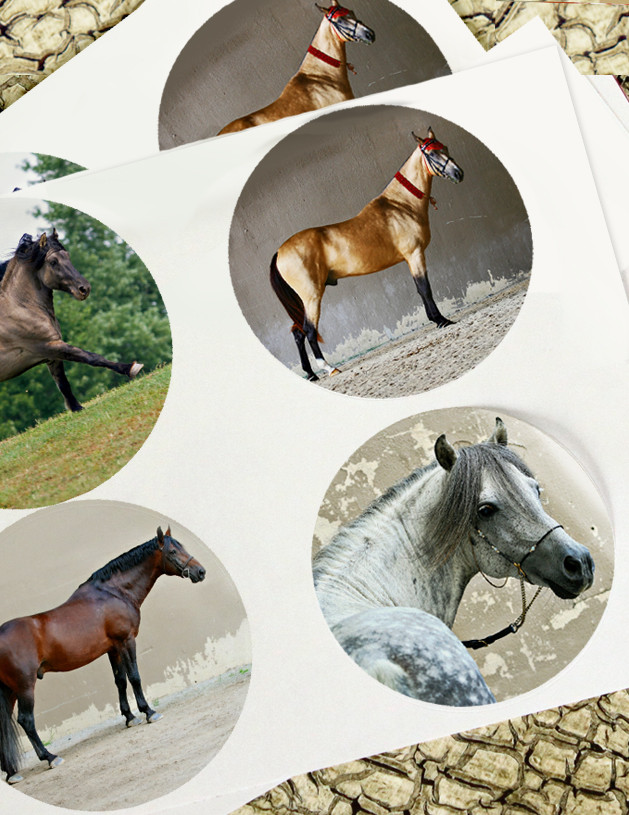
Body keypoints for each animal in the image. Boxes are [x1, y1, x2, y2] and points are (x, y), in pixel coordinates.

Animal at [0, 230, 143, 413]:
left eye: (67, 255)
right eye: (53, 261)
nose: (84, 289)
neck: (21, 307)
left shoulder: (52, 354)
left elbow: (63, 383)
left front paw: (76, 408)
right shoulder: (48, 346)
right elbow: (92, 358)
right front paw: (131, 368)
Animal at [0, 526, 206, 784]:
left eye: (181, 547)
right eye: (172, 551)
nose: (201, 571)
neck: (114, 593)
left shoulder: (113, 649)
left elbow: (120, 681)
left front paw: (130, 717)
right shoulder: (127, 641)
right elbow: (134, 677)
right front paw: (149, 712)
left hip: (8, 691)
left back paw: (12, 773)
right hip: (24, 686)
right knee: (26, 721)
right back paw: (50, 757)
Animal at [270, 128, 464, 380]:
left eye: (446, 147)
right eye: (431, 153)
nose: (458, 173)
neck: (401, 205)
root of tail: (279, 251)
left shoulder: (411, 258)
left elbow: (421, 290)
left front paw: (436, 319)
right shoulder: (414, 255)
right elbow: (425, 289)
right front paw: (441, 320)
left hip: (302, 300)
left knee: (297, 333)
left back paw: (311, 374)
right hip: (311, 296)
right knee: (310, 332)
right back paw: (329, 368)